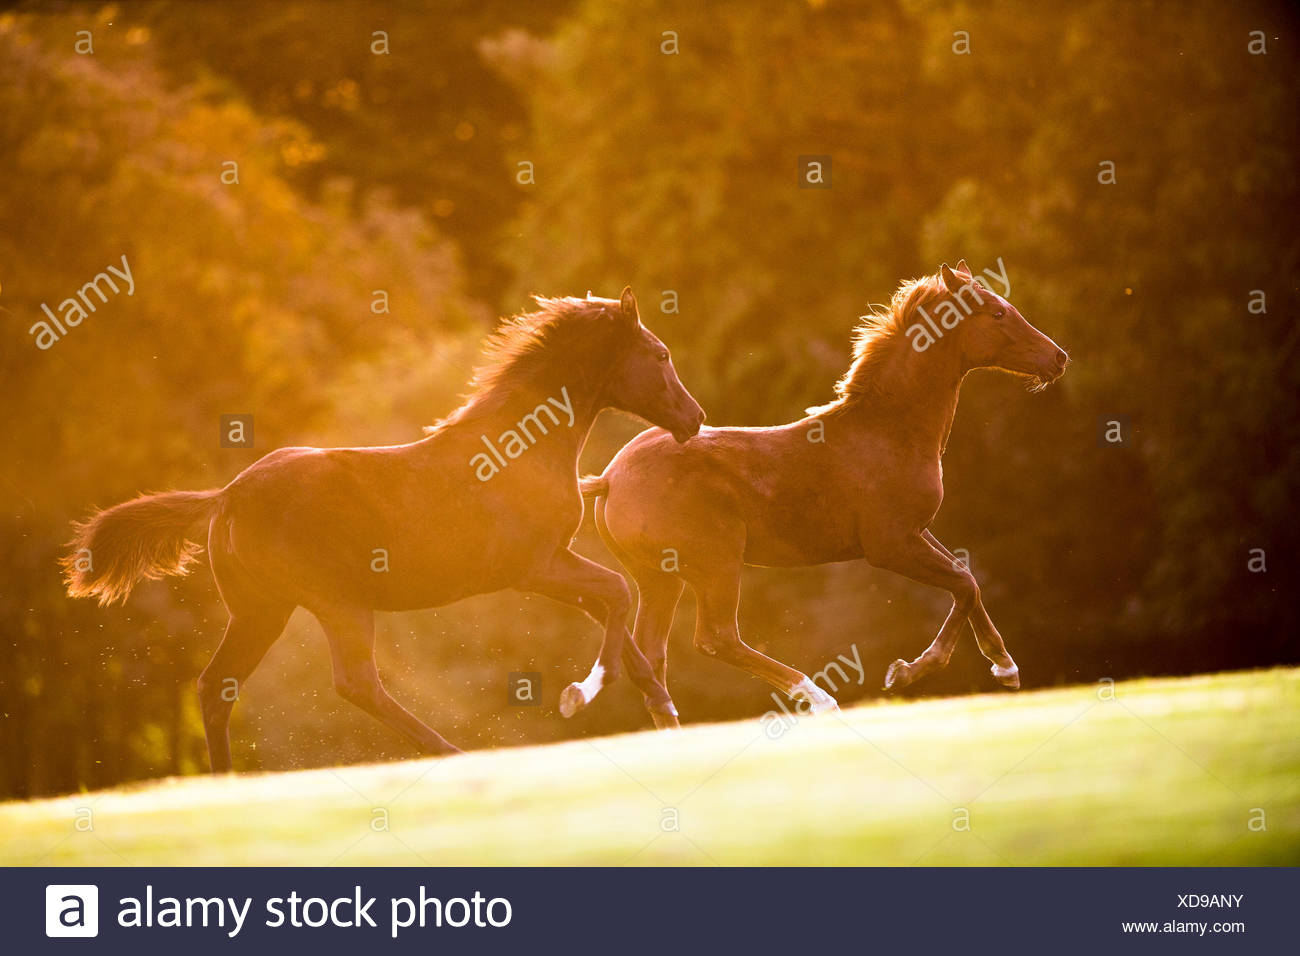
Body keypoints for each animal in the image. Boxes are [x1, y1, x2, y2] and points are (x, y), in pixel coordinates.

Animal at [62, 288, 705, 771]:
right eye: (660, 355)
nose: (694, 420)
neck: (519, 448)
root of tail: (225, 499)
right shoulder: (535, 566)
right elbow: (617, 596)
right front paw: (582, 695)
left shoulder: (554, 565)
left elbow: (615, 611)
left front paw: (663, 712)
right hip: (335, 602)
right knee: (355, 682)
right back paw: (451, 753)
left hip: (261, 609)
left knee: (216, 686)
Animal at [580, 262, 1068, 728]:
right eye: (998, 313)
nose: (1059, 357)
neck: (889, 430)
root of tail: (609, 479)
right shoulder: (890, 545)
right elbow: (964, 585)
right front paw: (907, 671)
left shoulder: (916, 531)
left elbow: (966, 578)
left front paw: (1005, 666)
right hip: (715, 562)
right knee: (717, 638)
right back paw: (819, 698)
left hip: (657, 577)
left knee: (653, 656)